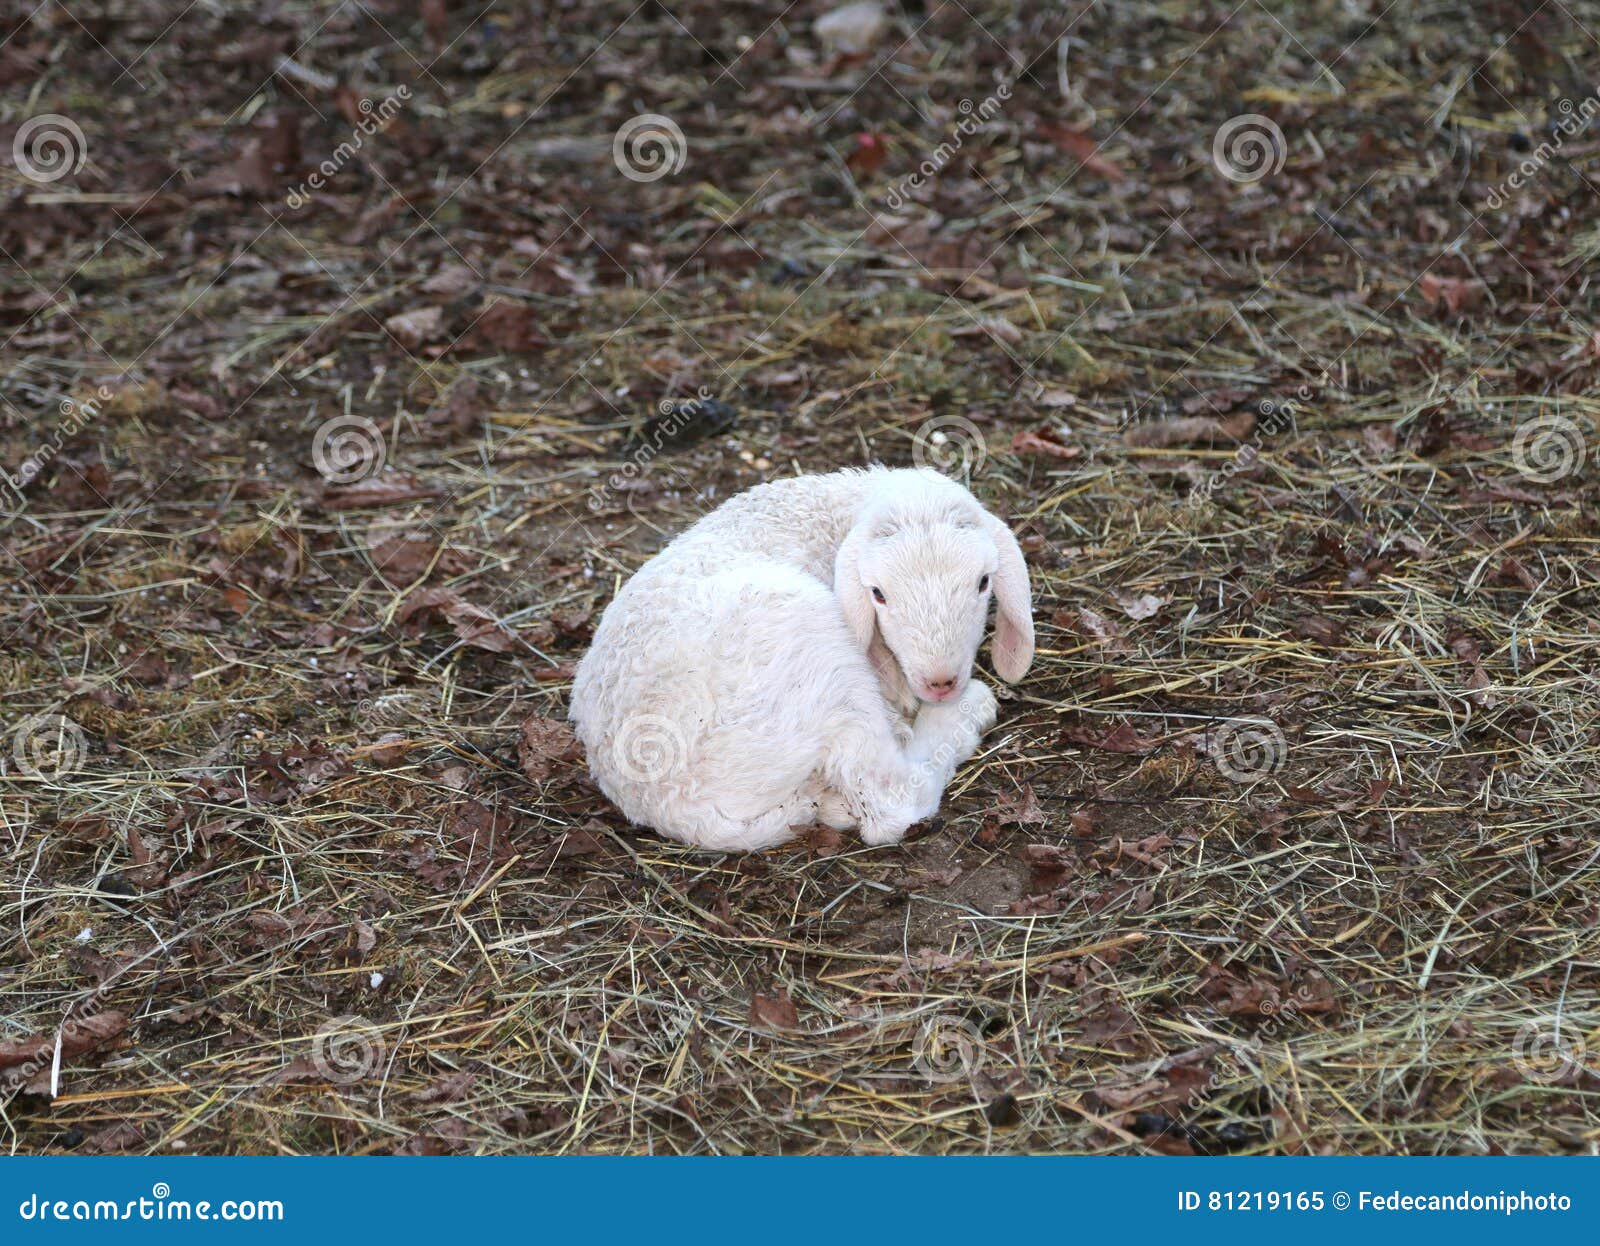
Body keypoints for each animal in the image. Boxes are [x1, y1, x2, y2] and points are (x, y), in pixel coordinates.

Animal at [570, 467, 1034, 851]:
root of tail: (678, 809)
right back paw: (965, 714)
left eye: (984, 582)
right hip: (819, 662)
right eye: (878, 593)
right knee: (890, 804)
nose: (941, 682)